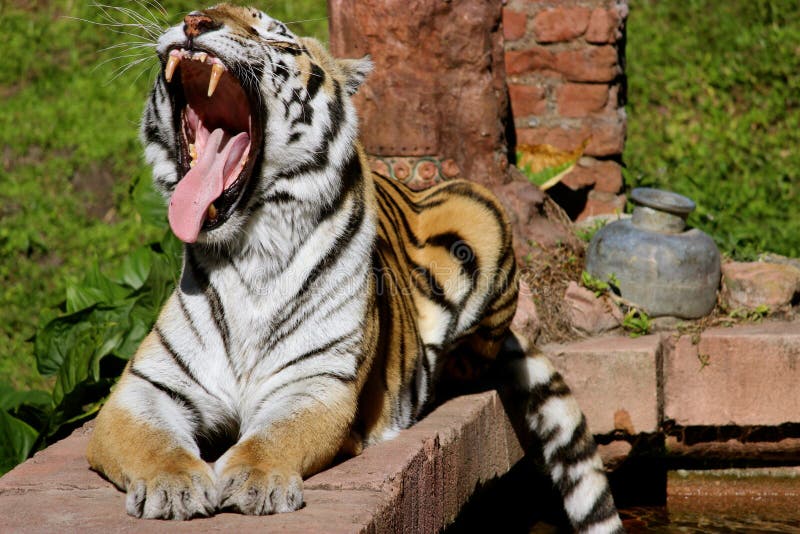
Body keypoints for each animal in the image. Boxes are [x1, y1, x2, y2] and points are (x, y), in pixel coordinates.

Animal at [86, 4, 624, 532]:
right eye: (195, 13)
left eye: (275, 37)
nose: (195, 22)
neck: (248, 252)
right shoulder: (144, 387)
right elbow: (154, 442)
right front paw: (172, 486)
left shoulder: (317, 383)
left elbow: (273, 437)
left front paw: (257, 482)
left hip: (481, 209)